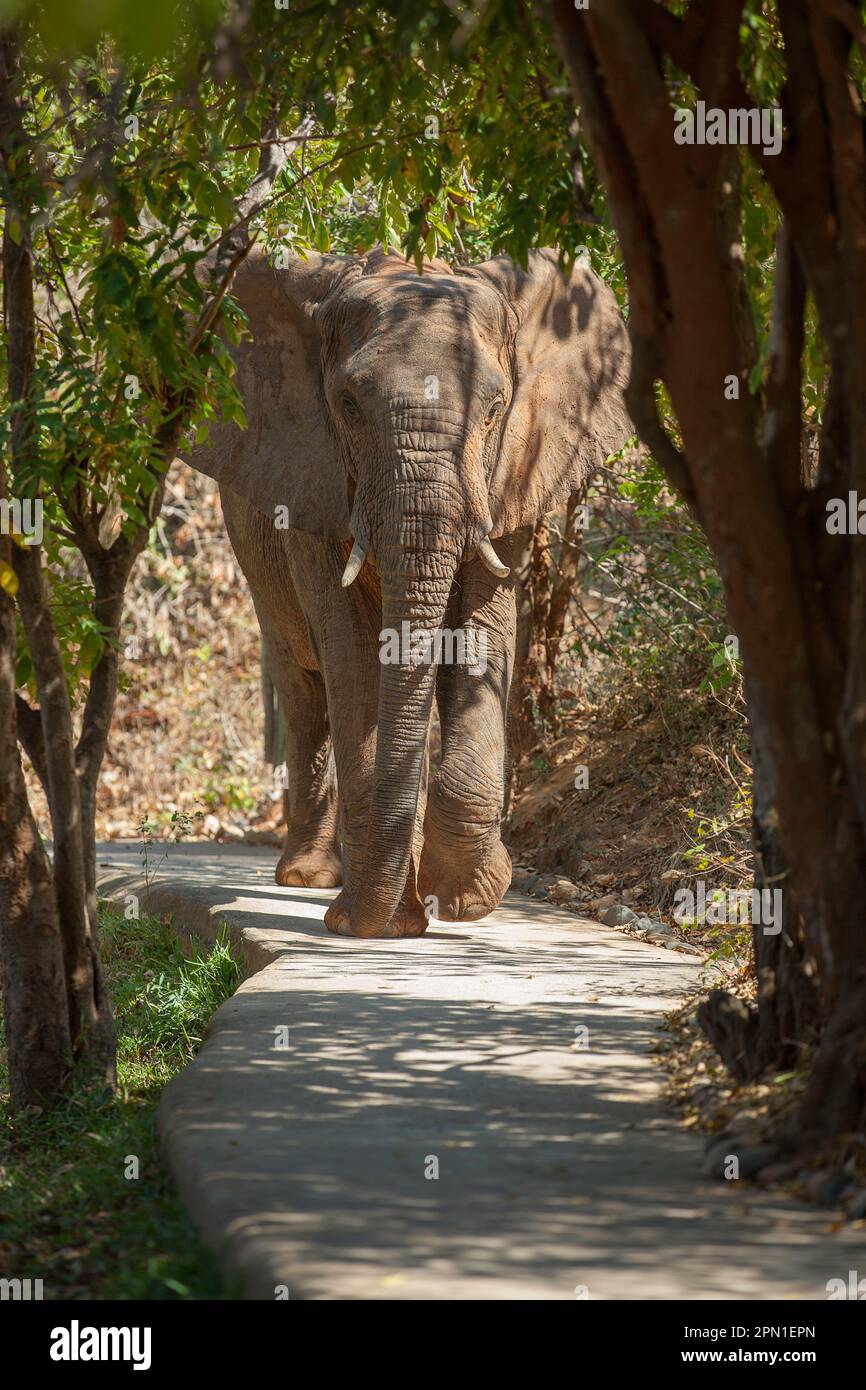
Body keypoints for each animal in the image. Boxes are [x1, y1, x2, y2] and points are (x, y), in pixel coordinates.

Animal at [185, 244, 631, 939]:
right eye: (346, 403)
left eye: (496, 407)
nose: (359, 921)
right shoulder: (314, 482)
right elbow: (353, 653)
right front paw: (378, 922)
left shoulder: (505, 480)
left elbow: (480, 635)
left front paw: (463, 895)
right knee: (302, 685)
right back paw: (308, 878)